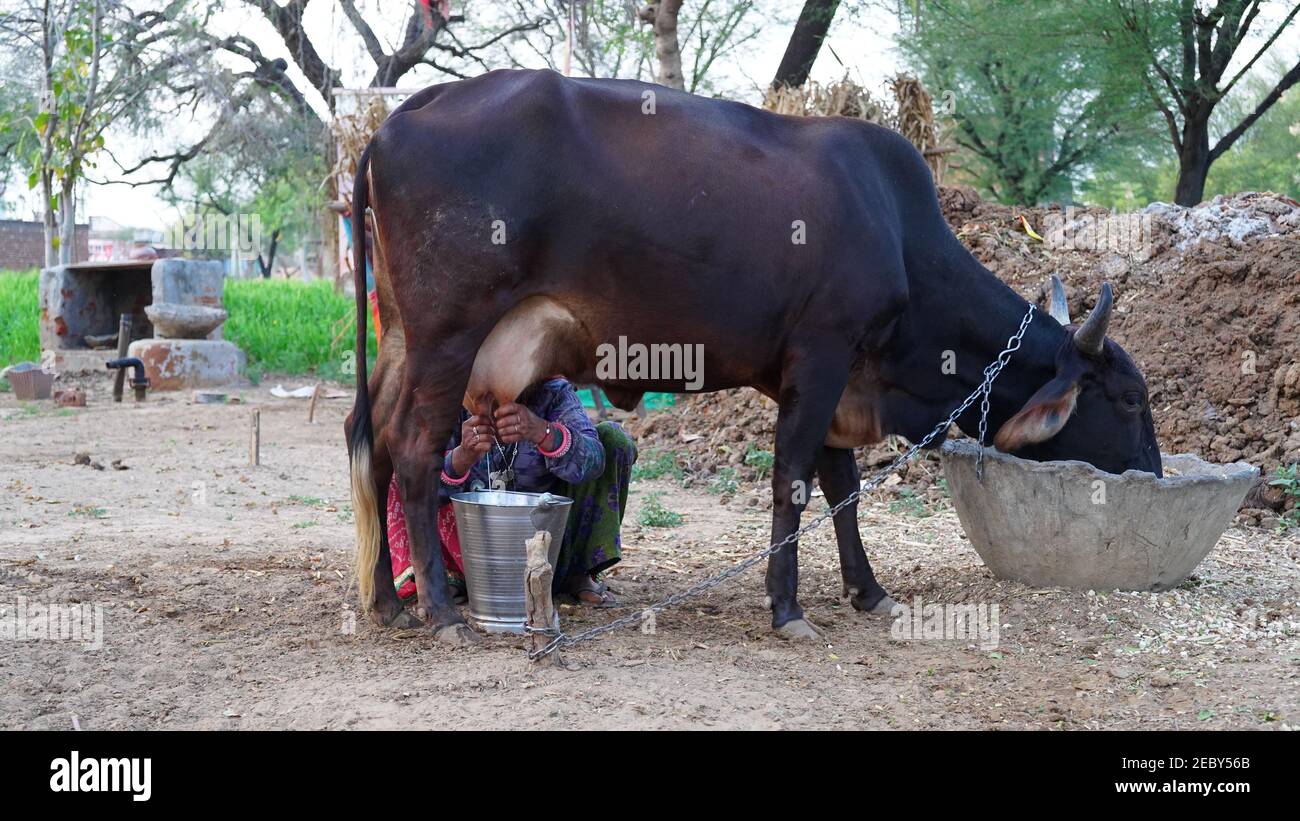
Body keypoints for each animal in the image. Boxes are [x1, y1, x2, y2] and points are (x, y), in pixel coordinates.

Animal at [345, 69, 1161, 646]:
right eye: (1127, 398)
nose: (1153, 474)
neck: (898, 234)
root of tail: (399, 119)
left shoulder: (831, 383)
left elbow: (841, 488)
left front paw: (867, 591)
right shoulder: (822, 356)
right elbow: (793, 480)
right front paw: (788, 607)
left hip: (402, 342)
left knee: (370, 440)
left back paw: (386, 601)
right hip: (448, 337)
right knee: (413, 451)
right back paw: (443, 612)